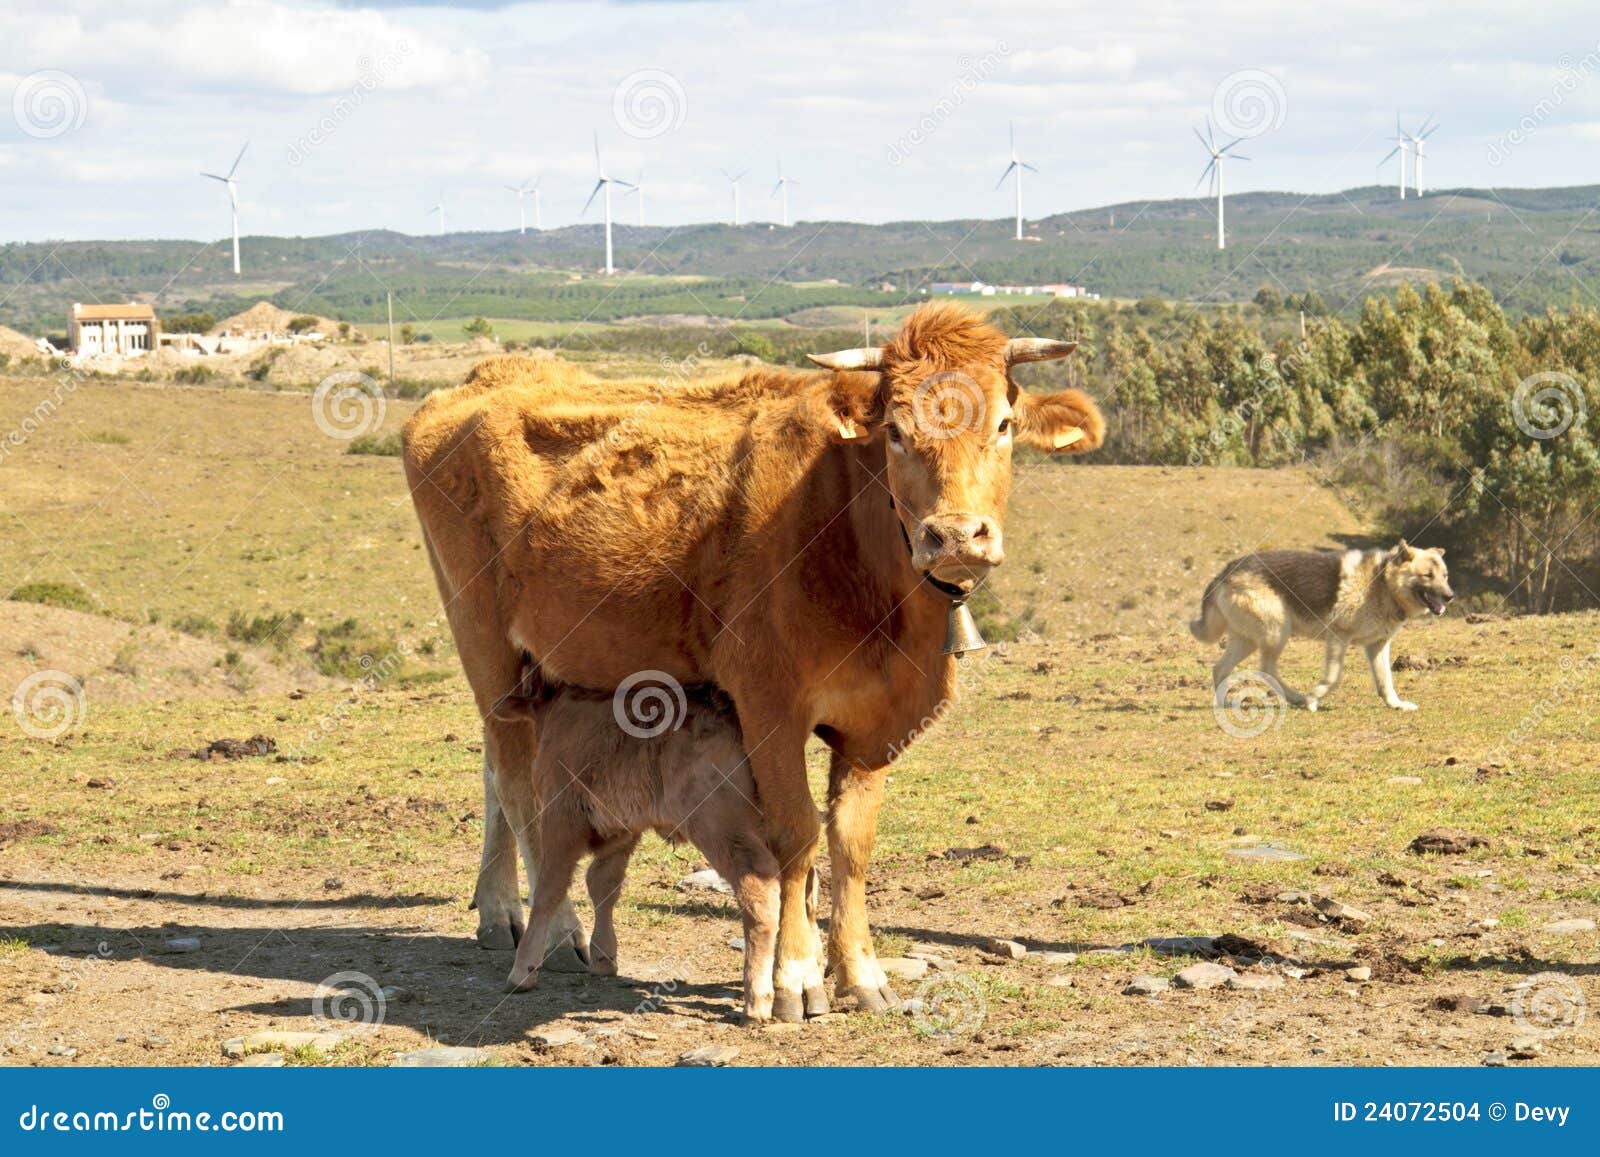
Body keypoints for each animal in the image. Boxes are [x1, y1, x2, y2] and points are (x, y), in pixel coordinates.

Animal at [402, 302, 1105, 1021]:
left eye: (1004, 424)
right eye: (896, 432)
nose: (955, 535)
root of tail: (487, 378)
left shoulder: (874, 726)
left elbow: (851, 842)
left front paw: (859, 971)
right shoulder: (769, 705)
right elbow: (795, 833)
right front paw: (795, 976)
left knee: (496, 771)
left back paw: (498, 912)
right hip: (482, 640)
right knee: (518, 787)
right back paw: (556, 931)